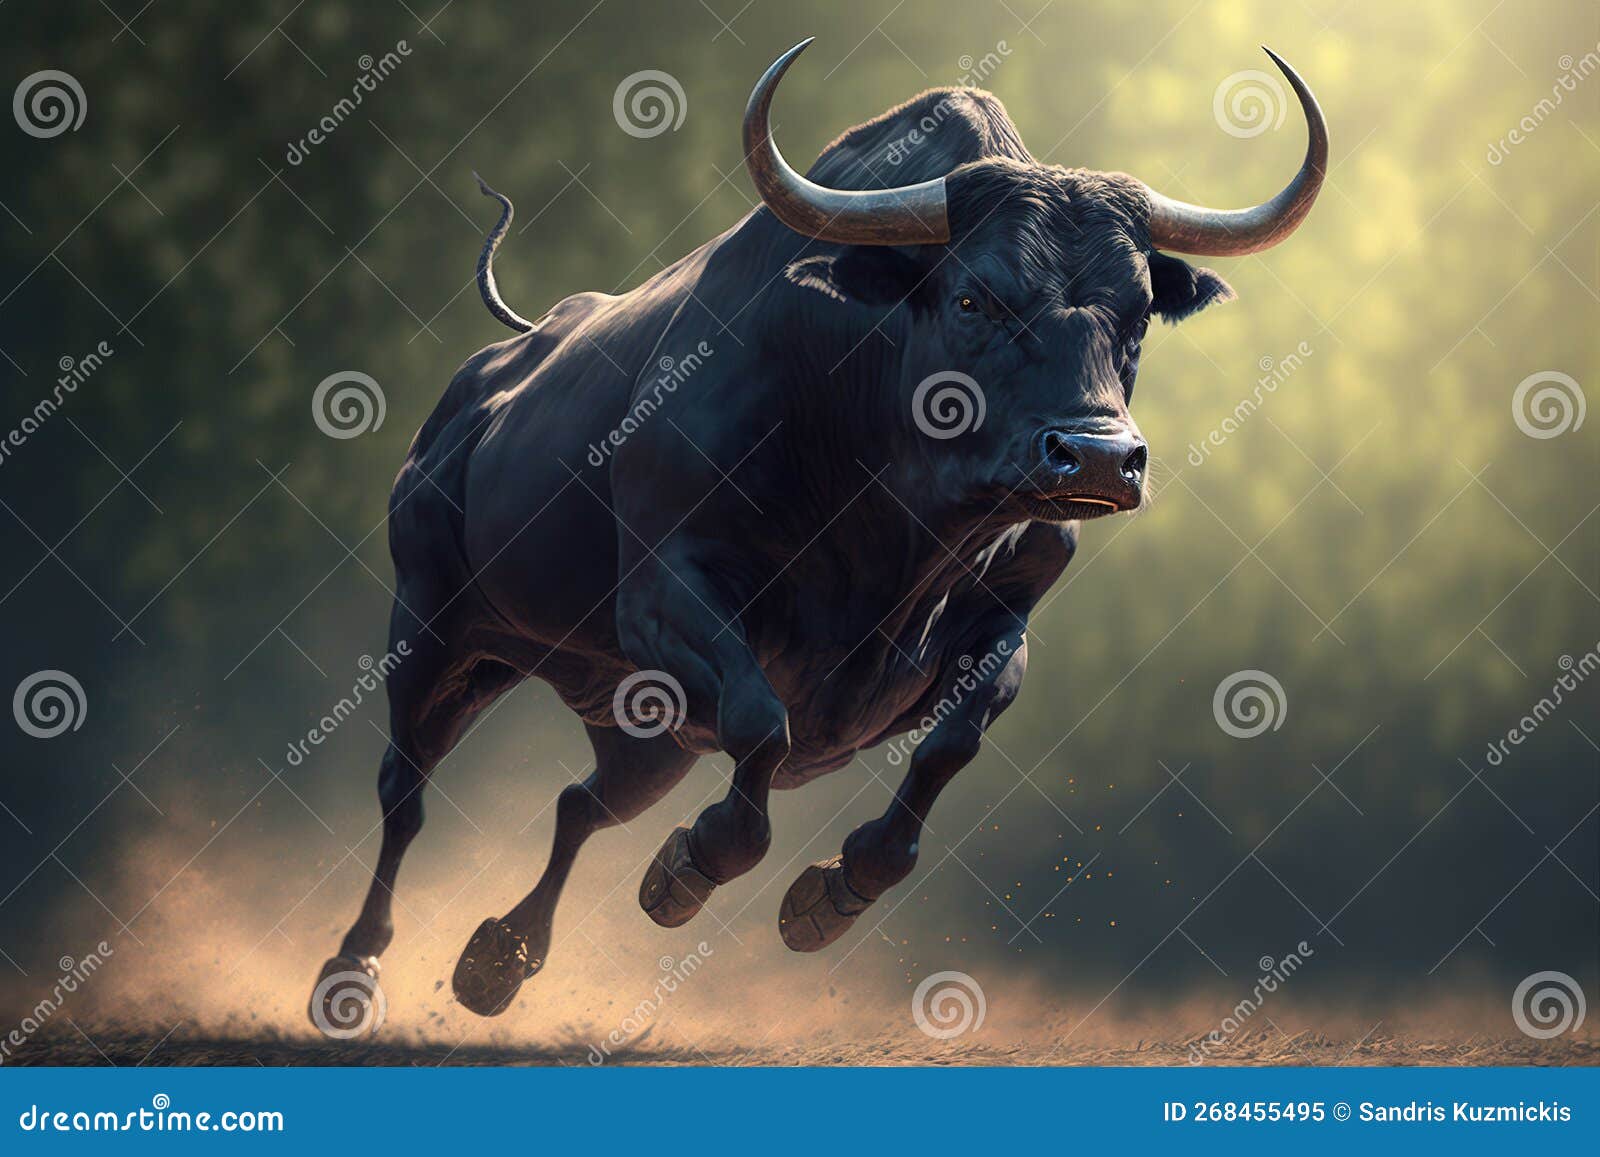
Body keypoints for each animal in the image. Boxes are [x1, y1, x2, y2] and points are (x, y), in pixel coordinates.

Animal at [310, 39, 1326, 1027]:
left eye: (1136, 315)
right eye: (973, 299)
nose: (1101, 458)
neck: (893, 534)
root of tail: (479, 388)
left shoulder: (1006, 615)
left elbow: (950, 744)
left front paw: (835, 891)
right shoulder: (665, 598)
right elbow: (763, 729)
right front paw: (690, 865)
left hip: (641, 730)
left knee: (580, 804)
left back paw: (498, 957)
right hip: (437, 633)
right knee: (405, 793)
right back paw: (353, 966)